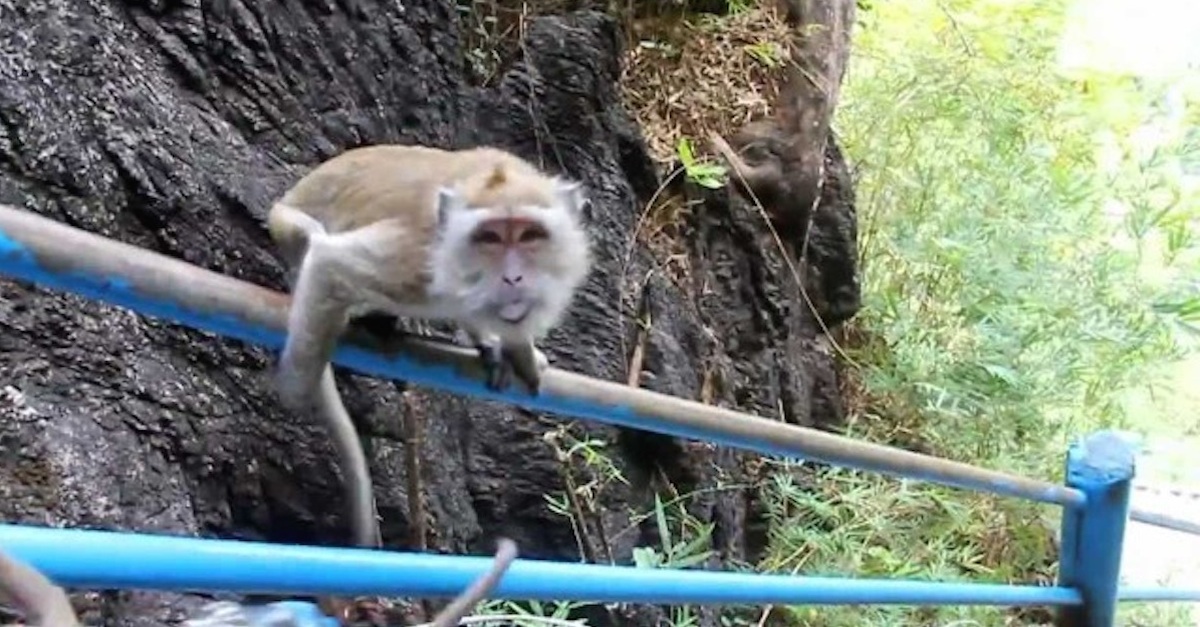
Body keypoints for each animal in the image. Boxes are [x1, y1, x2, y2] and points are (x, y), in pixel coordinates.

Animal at [266, 144, 592, 550]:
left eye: (530, 235)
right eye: (490, 238)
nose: (513, 278)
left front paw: (517, 350)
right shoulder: (415, 260)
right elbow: (330, 262)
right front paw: (299, 389)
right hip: (287, 227)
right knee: (314, 242)